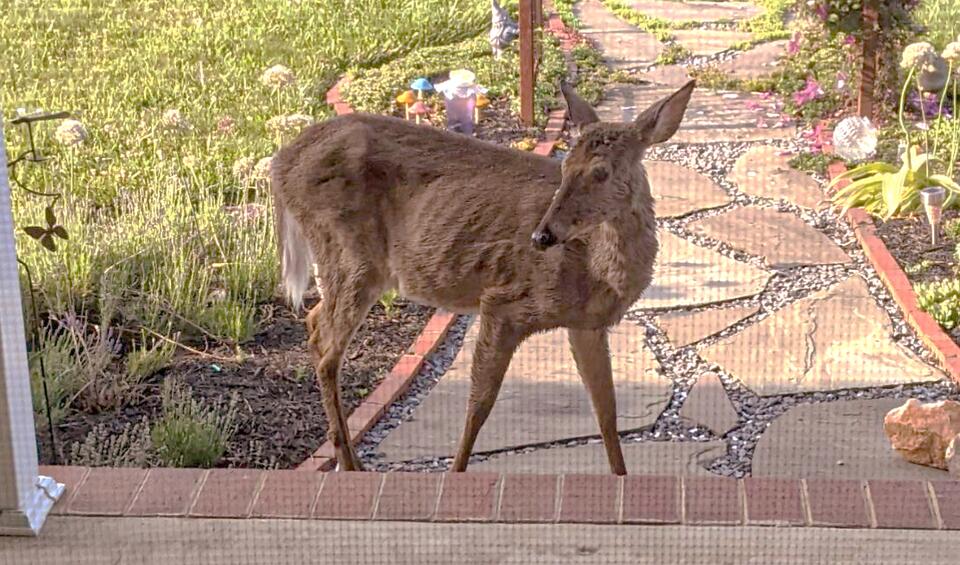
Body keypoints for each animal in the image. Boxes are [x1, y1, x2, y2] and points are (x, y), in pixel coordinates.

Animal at [271, 79, 696, 474]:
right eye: (564, 167)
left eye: (601, 172)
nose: (542, 236)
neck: (595, 270)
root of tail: (279, 163)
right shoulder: (503, 302)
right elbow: (480, 404)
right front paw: (456, 472)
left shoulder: (586, 325)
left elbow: (606, 410)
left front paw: (621, 477)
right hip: (350, 253)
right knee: (328, 346)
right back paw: (351, 463)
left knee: (314, 321)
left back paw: (348, 457)